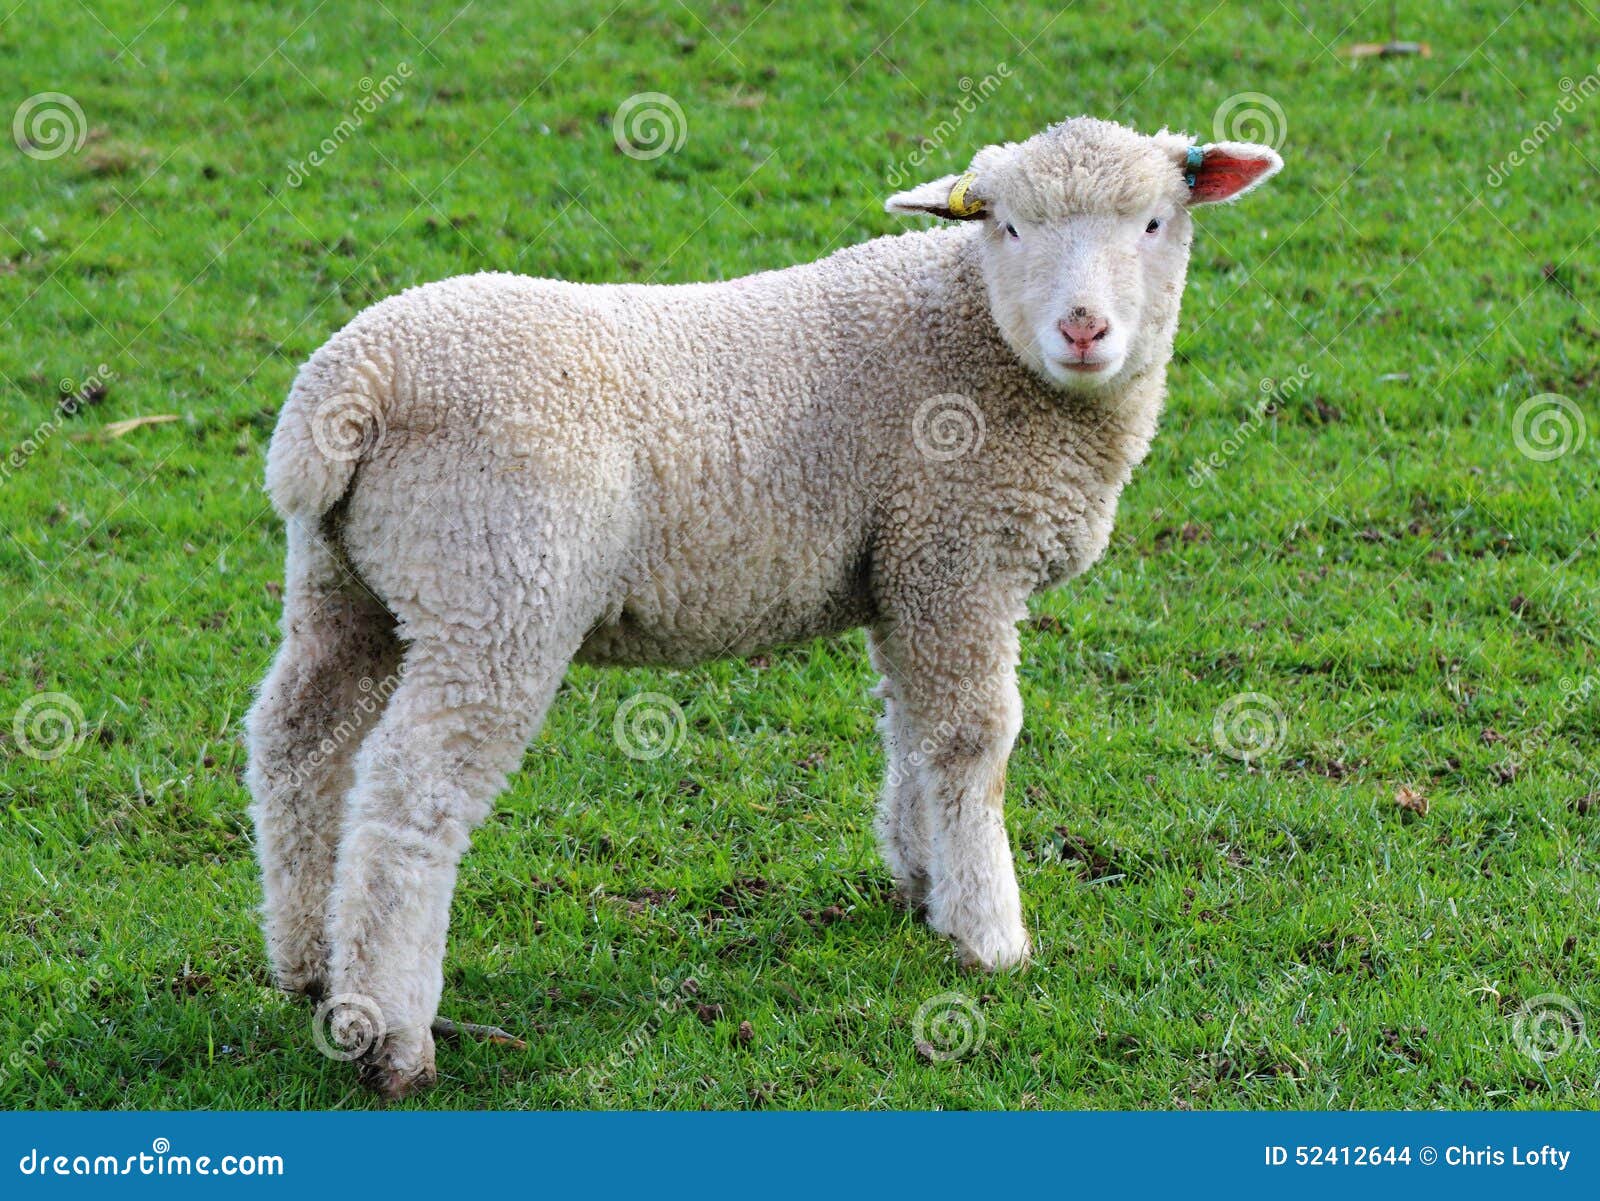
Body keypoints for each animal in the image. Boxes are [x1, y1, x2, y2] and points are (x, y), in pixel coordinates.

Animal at [245, 115, 1283, 1097]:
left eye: (1153, 224)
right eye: (1011, 226)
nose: (1083, 329)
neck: (979, 336)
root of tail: (353, 385)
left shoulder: (907, 571)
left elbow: (910, 731)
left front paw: (922, 882)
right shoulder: (958, 557)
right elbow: (970, 742)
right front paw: (991, 935)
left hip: (347, 584)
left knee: (299, 741)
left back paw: (310, 968)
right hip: (497, 591)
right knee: (409, 796)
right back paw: (392, 1037)